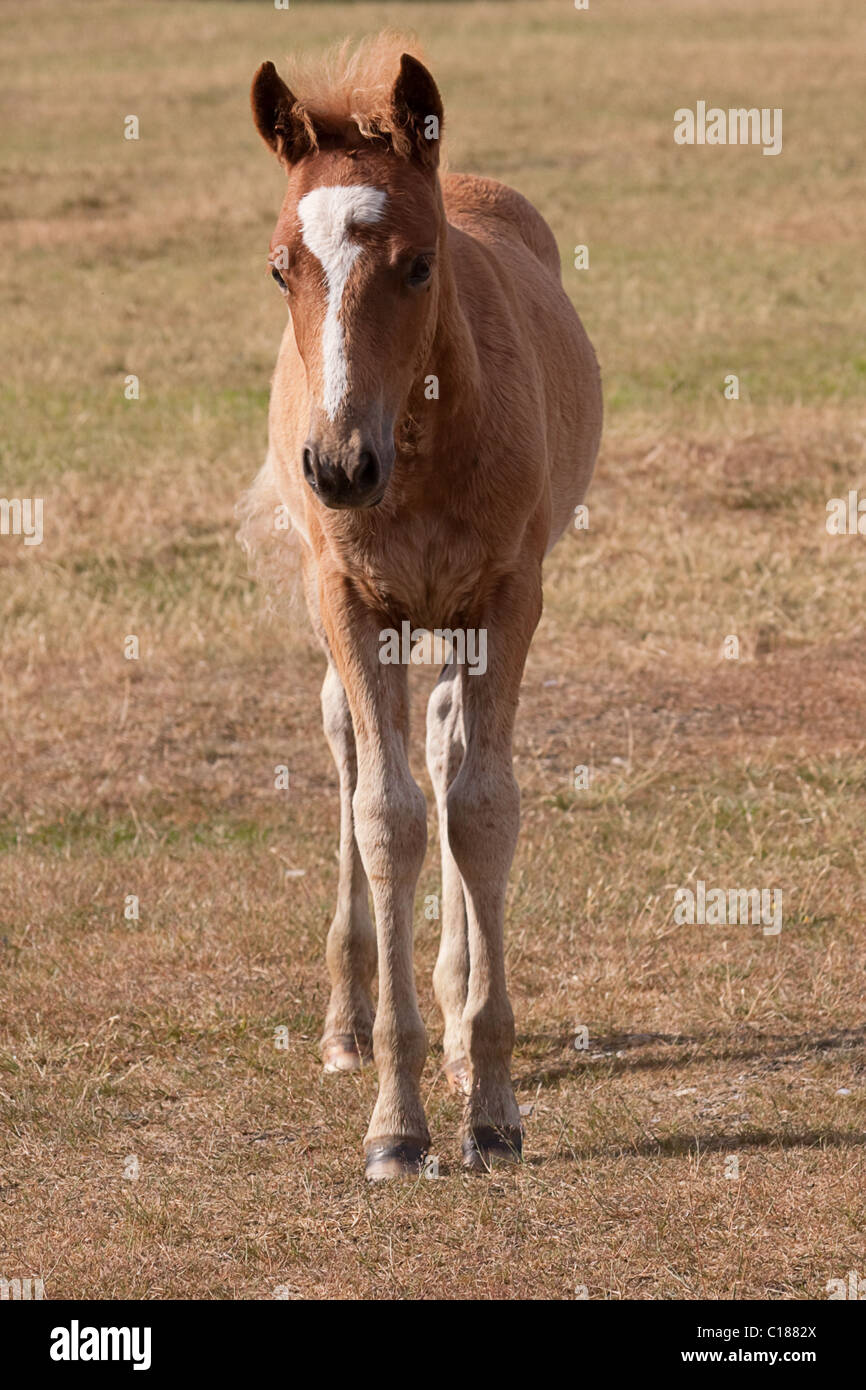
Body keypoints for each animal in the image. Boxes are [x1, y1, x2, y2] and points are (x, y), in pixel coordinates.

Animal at [243, 34, 602, 1179]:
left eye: (417, 263)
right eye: (282, 266)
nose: (335, 465)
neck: (421, 445)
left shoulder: (509, 596)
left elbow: (480, 808)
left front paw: (487, 1103)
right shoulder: (351, 599)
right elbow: (385, 815)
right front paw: (396, 1126)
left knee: (444, 745)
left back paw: (450, 1016)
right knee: (355, 748)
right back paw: (347, 1020)